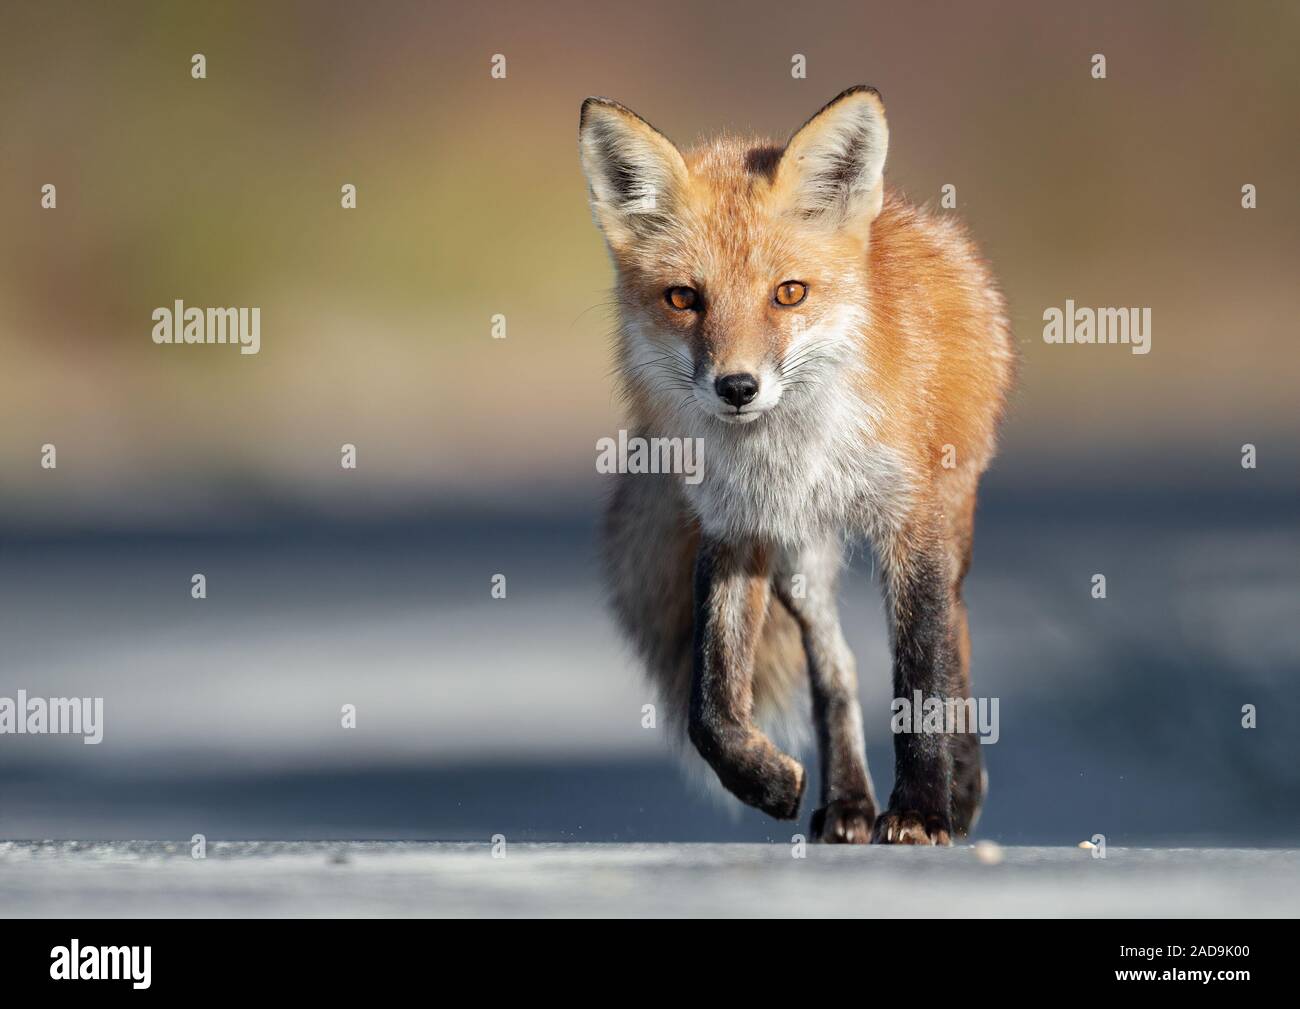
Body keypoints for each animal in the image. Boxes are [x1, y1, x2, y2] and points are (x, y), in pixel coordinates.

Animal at [579, 86, 1015, 844]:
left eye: (788, 293)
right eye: (683, 298)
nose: (736, 387)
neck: (799, 452)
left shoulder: (912, 522)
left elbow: (921, 676)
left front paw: (923, 808)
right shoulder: (736, 528)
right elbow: (711, 705)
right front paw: (765, 780)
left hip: (950, 515)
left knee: (953, 633)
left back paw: (959, 785)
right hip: (801, 564)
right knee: (835, 667)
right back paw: (849, 803)